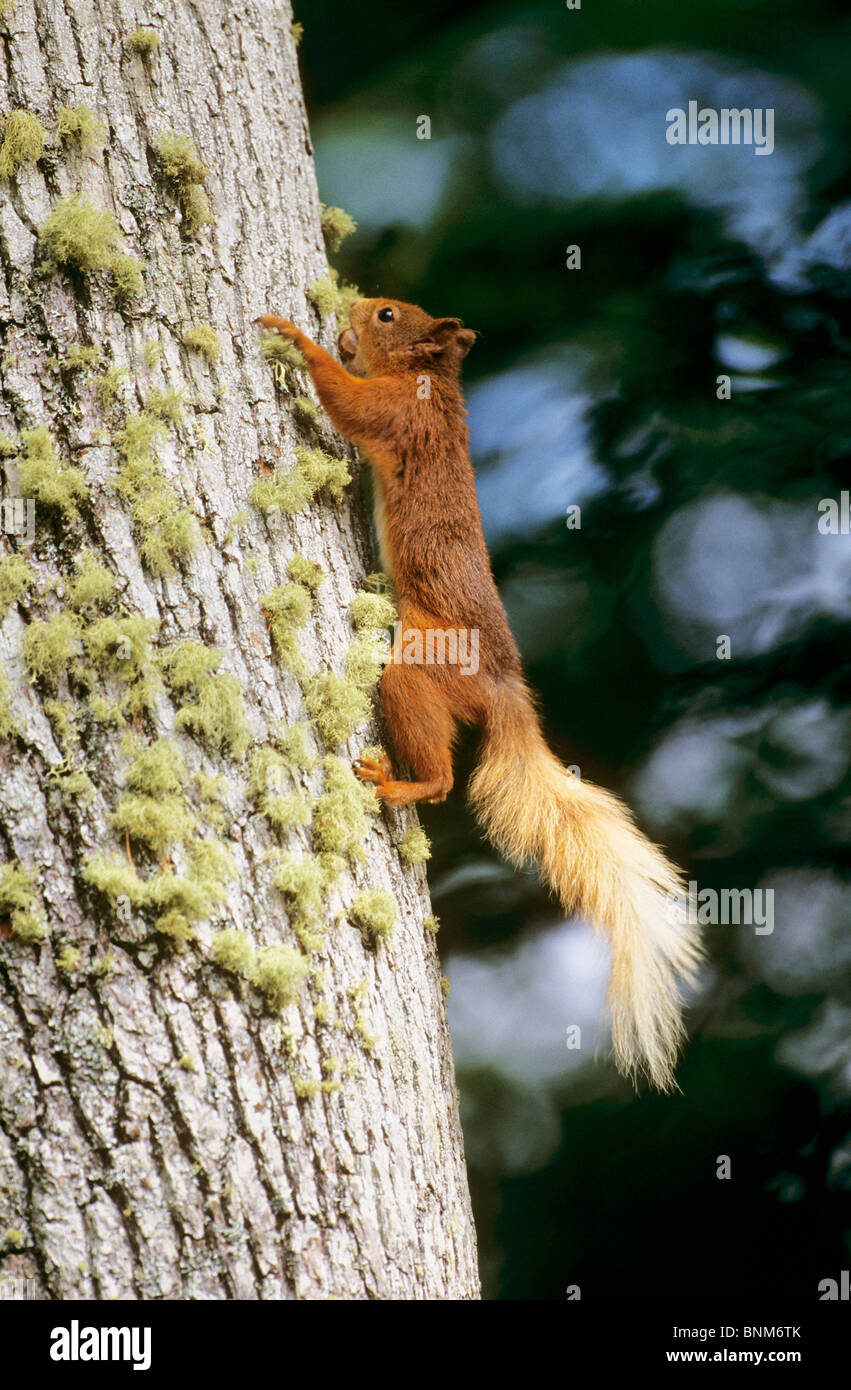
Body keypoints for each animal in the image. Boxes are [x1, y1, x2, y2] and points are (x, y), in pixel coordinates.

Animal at [255, 297, 703, 1090]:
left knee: (438, 773)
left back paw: (401, 782)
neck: (434, 382)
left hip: (422, 672)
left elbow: (348, 402)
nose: (350, 307)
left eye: (387, 313)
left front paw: (299, 337)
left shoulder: (400, 414)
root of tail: (502, 691)